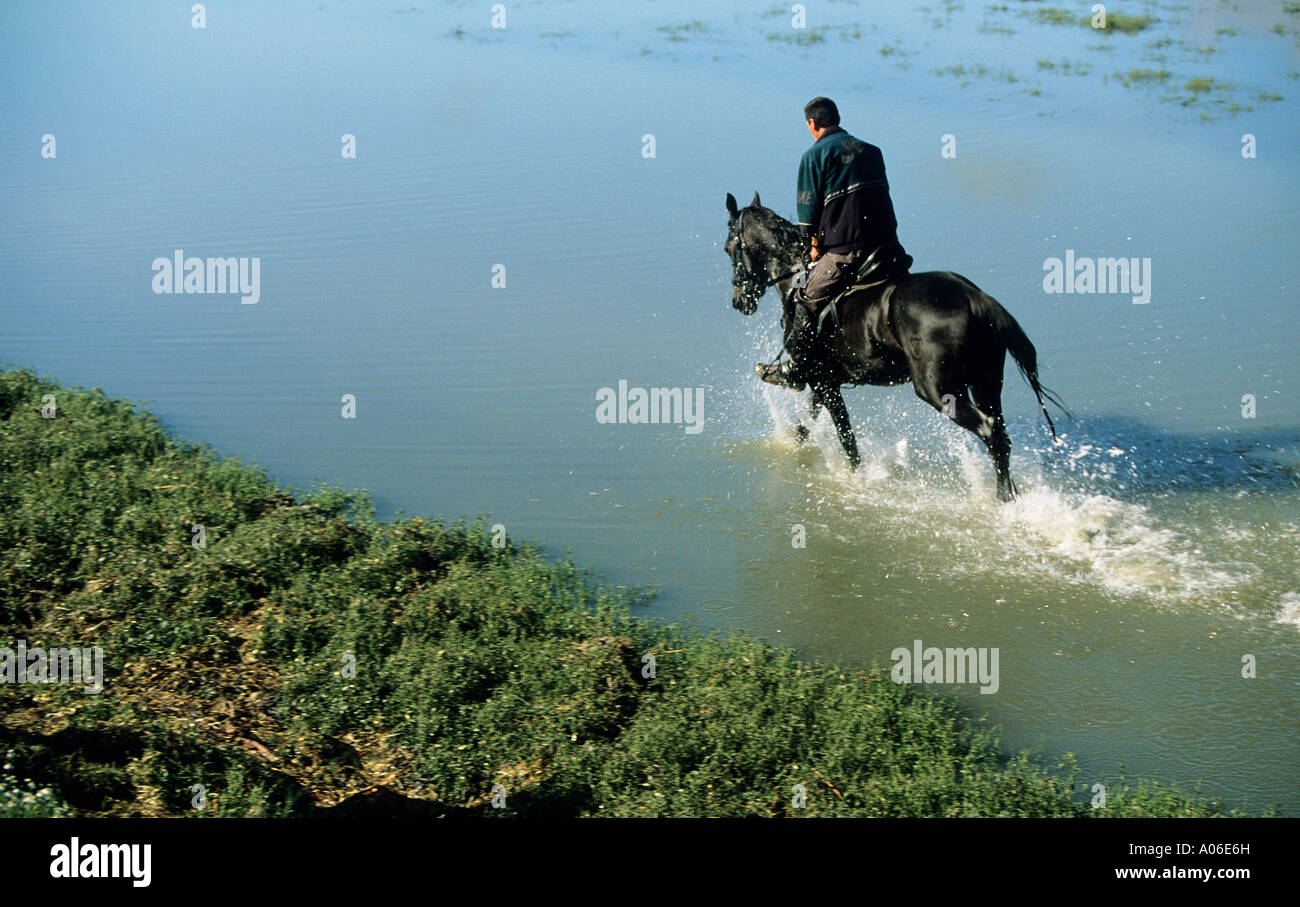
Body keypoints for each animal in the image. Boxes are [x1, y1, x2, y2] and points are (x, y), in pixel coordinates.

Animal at [724, 191, 1067, 502]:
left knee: (990, 431)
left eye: (729, 248)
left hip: (939, 390)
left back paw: (1003, 499)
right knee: (1000, 435)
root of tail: (976, 299)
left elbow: (846, 439)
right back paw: (1010, 494)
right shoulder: (824, 381)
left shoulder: (822, 382)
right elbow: (806, 427)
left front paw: (856, 480)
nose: (739, 301)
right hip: (986, 382)